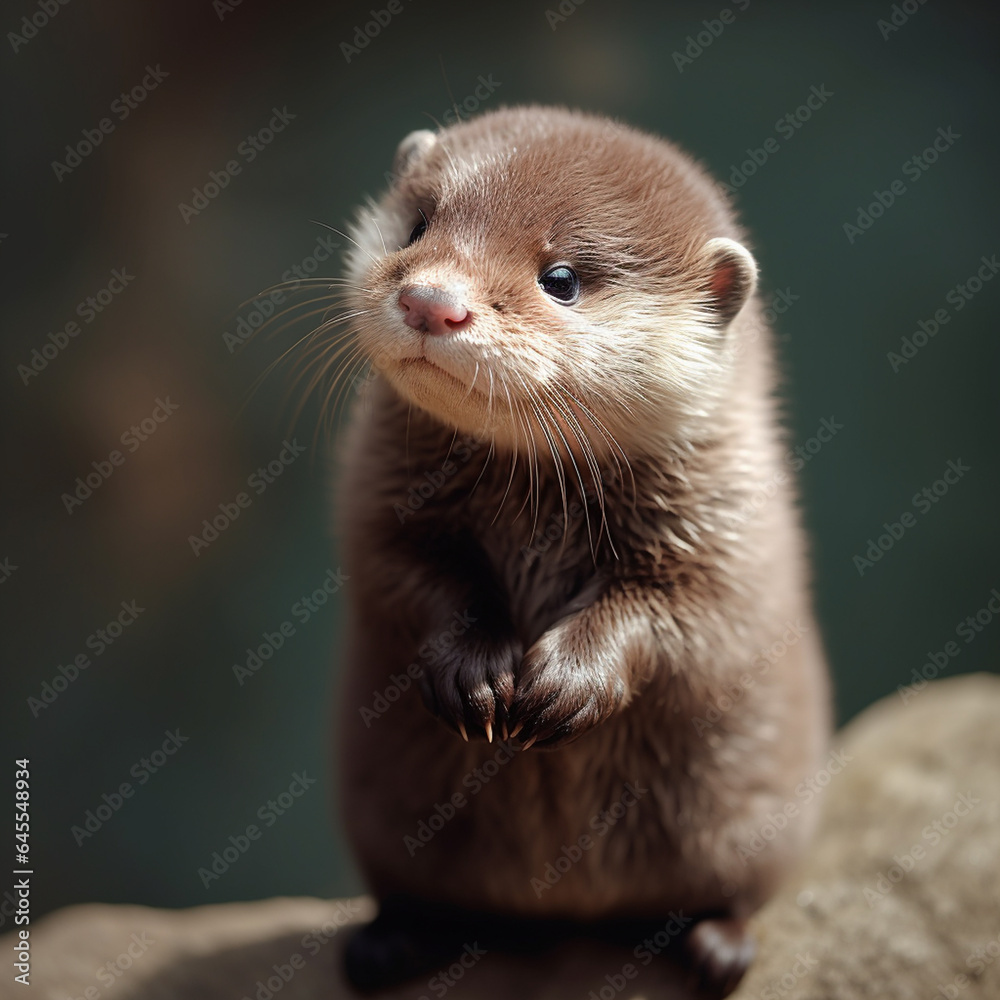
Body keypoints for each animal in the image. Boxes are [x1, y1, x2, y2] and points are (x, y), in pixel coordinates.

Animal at [330, 106, 830, 997]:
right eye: (417, 224)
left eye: (560, 277)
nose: (430, 300)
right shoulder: (376, 497)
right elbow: (401, 577)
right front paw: (475, 667)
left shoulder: (732, 530)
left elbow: (686, 619)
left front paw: (567, 681)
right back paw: (389, 944)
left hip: (755, 823)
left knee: (739, 889)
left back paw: (717, 947)